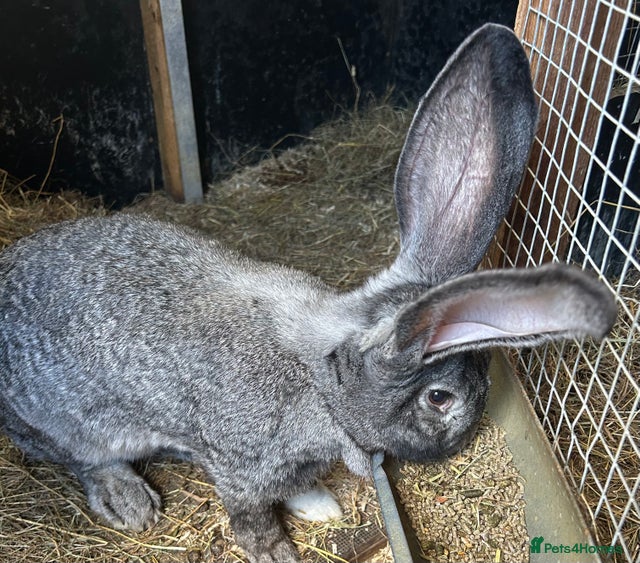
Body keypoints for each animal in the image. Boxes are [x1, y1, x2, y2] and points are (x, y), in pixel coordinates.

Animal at [0, 23, 616, 563]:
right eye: (441, 399)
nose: (454, 450)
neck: (320, 379)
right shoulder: (242, 466)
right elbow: (251, 517)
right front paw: (278, 551)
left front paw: (320, 505)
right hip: (63, 426)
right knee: (82, 459)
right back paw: (128, 501)